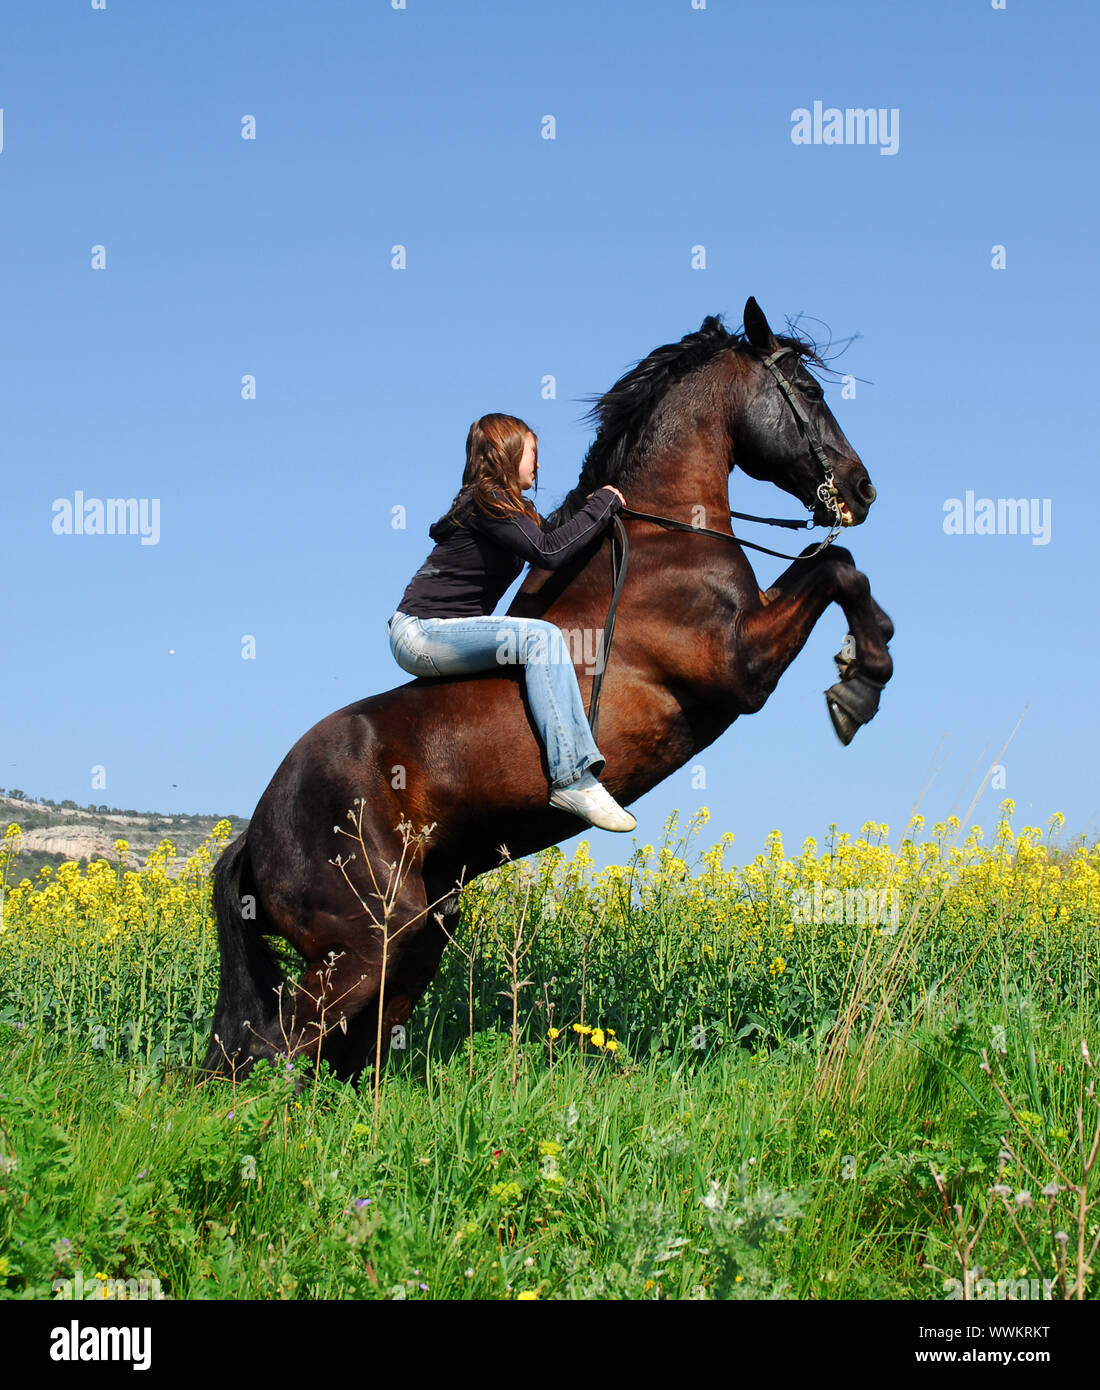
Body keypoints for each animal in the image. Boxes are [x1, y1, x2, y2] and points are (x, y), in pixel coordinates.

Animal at [202, 296, 894, 1086]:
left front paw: (860, 662)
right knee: (275, 1049)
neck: (661, 535)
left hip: (421, 932)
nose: (862, 488)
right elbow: (836, 567)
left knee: (335, 1055)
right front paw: (860, 685)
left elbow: (832, 562)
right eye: (808, 391)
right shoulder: (741, 664)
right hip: (365, 939)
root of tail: (256, 831)